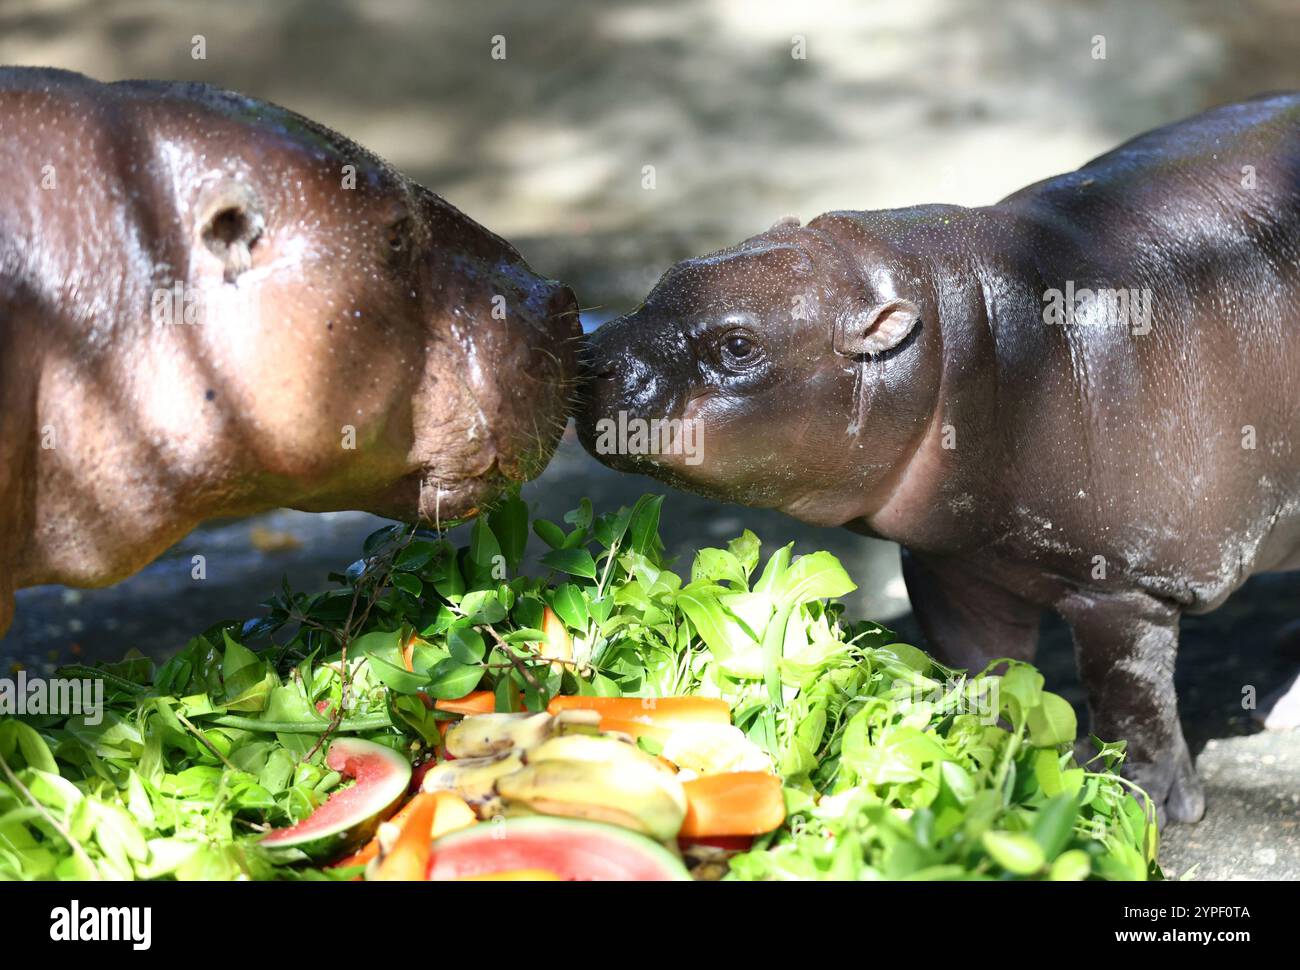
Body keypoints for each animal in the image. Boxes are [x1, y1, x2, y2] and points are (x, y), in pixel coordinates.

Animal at [578, 93, 1300, 823]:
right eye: (668, 277)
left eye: (737, 345)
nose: (592, 360)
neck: (967, 339)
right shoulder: (953, 564)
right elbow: (984, 673)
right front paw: (978, 772)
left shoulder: (1124, 587)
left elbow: (1134, 704)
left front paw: (1142, 805)